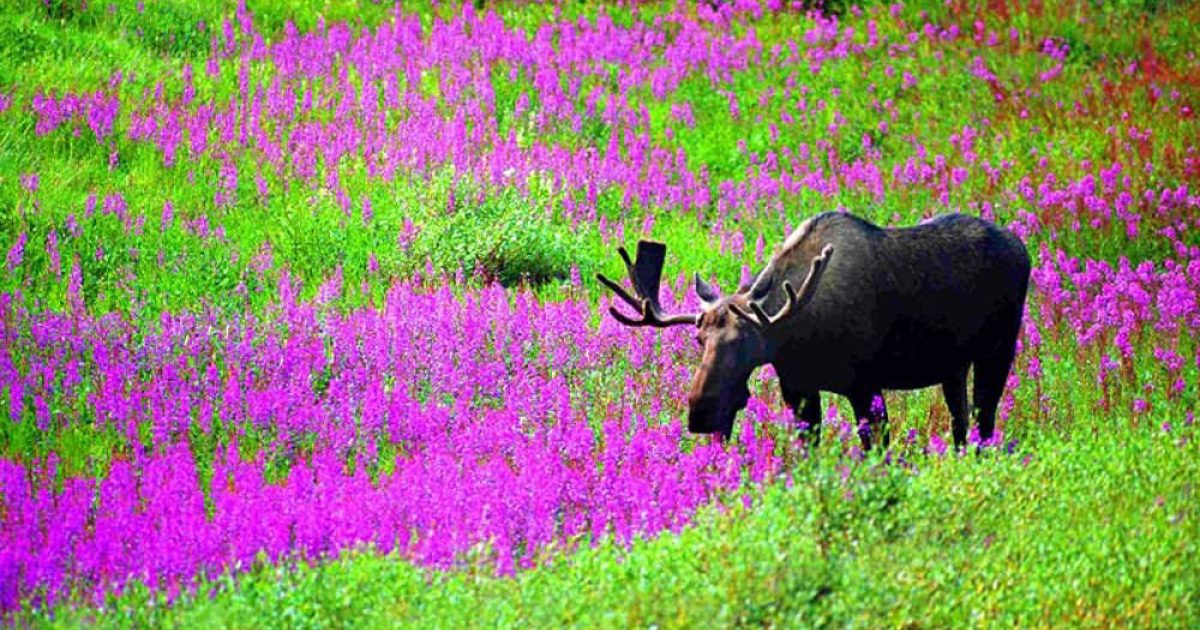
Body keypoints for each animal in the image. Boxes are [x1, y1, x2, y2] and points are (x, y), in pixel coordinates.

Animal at [598, 212, 1031, 451]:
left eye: (744, 342)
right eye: (699, 339)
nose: (701, 412)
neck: (798, 335)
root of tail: (1023, 248)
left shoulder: (865, 385)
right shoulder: (799, 389)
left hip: (998, 350)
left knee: (984, 421)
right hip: (952, 366)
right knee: (961, 424)